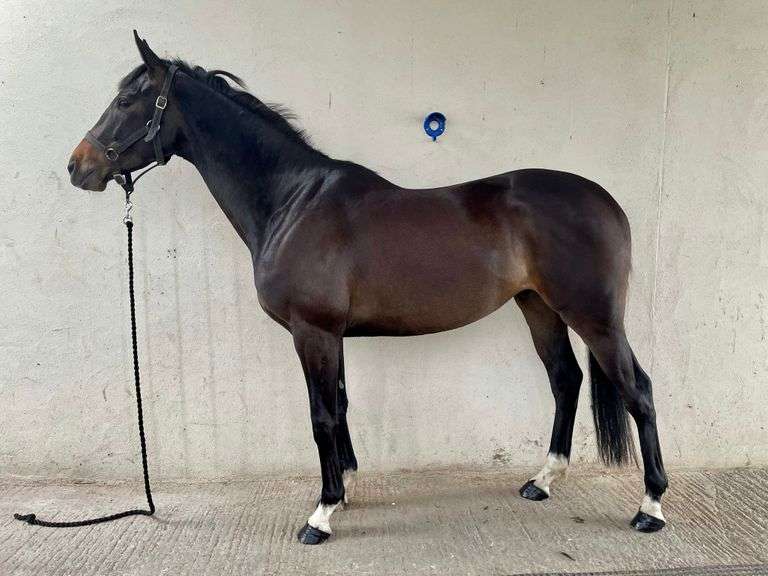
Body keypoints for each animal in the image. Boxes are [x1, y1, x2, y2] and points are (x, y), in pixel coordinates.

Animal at [68, 31, 668, 544]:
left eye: (127, 101)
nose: (78, 166)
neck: (292, 201)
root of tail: (606, 202)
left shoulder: (312, 331)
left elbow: (321, 416)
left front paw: (321, 513)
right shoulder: (331, 334)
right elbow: (340, 404)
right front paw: (347, 488)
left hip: (594, 317)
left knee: (637, 390)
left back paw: (651, 508)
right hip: (538, 306)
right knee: (565, 380)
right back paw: (542, 481)